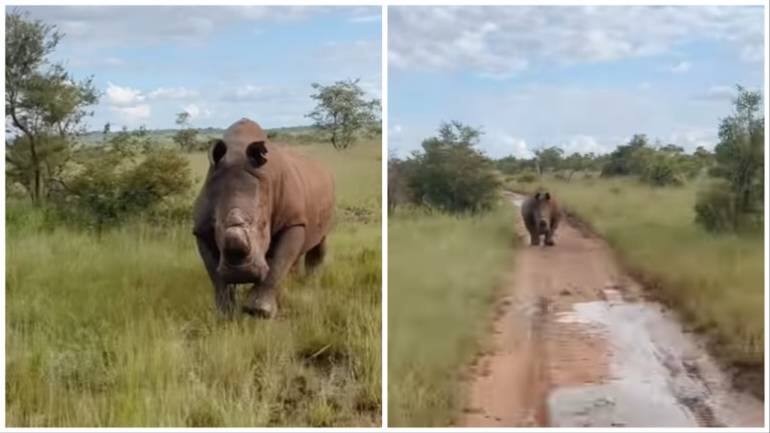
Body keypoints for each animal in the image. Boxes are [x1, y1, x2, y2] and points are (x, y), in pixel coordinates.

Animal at [193, 118, 335, 318]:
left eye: (263, 224)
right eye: (217, 225)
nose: (240, 273)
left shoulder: (293, 220)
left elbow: (277, 264)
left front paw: (259, 312)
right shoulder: (201, 229)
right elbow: (215, 275)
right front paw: (224, 314)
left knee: (319, 241)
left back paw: (310, 284)